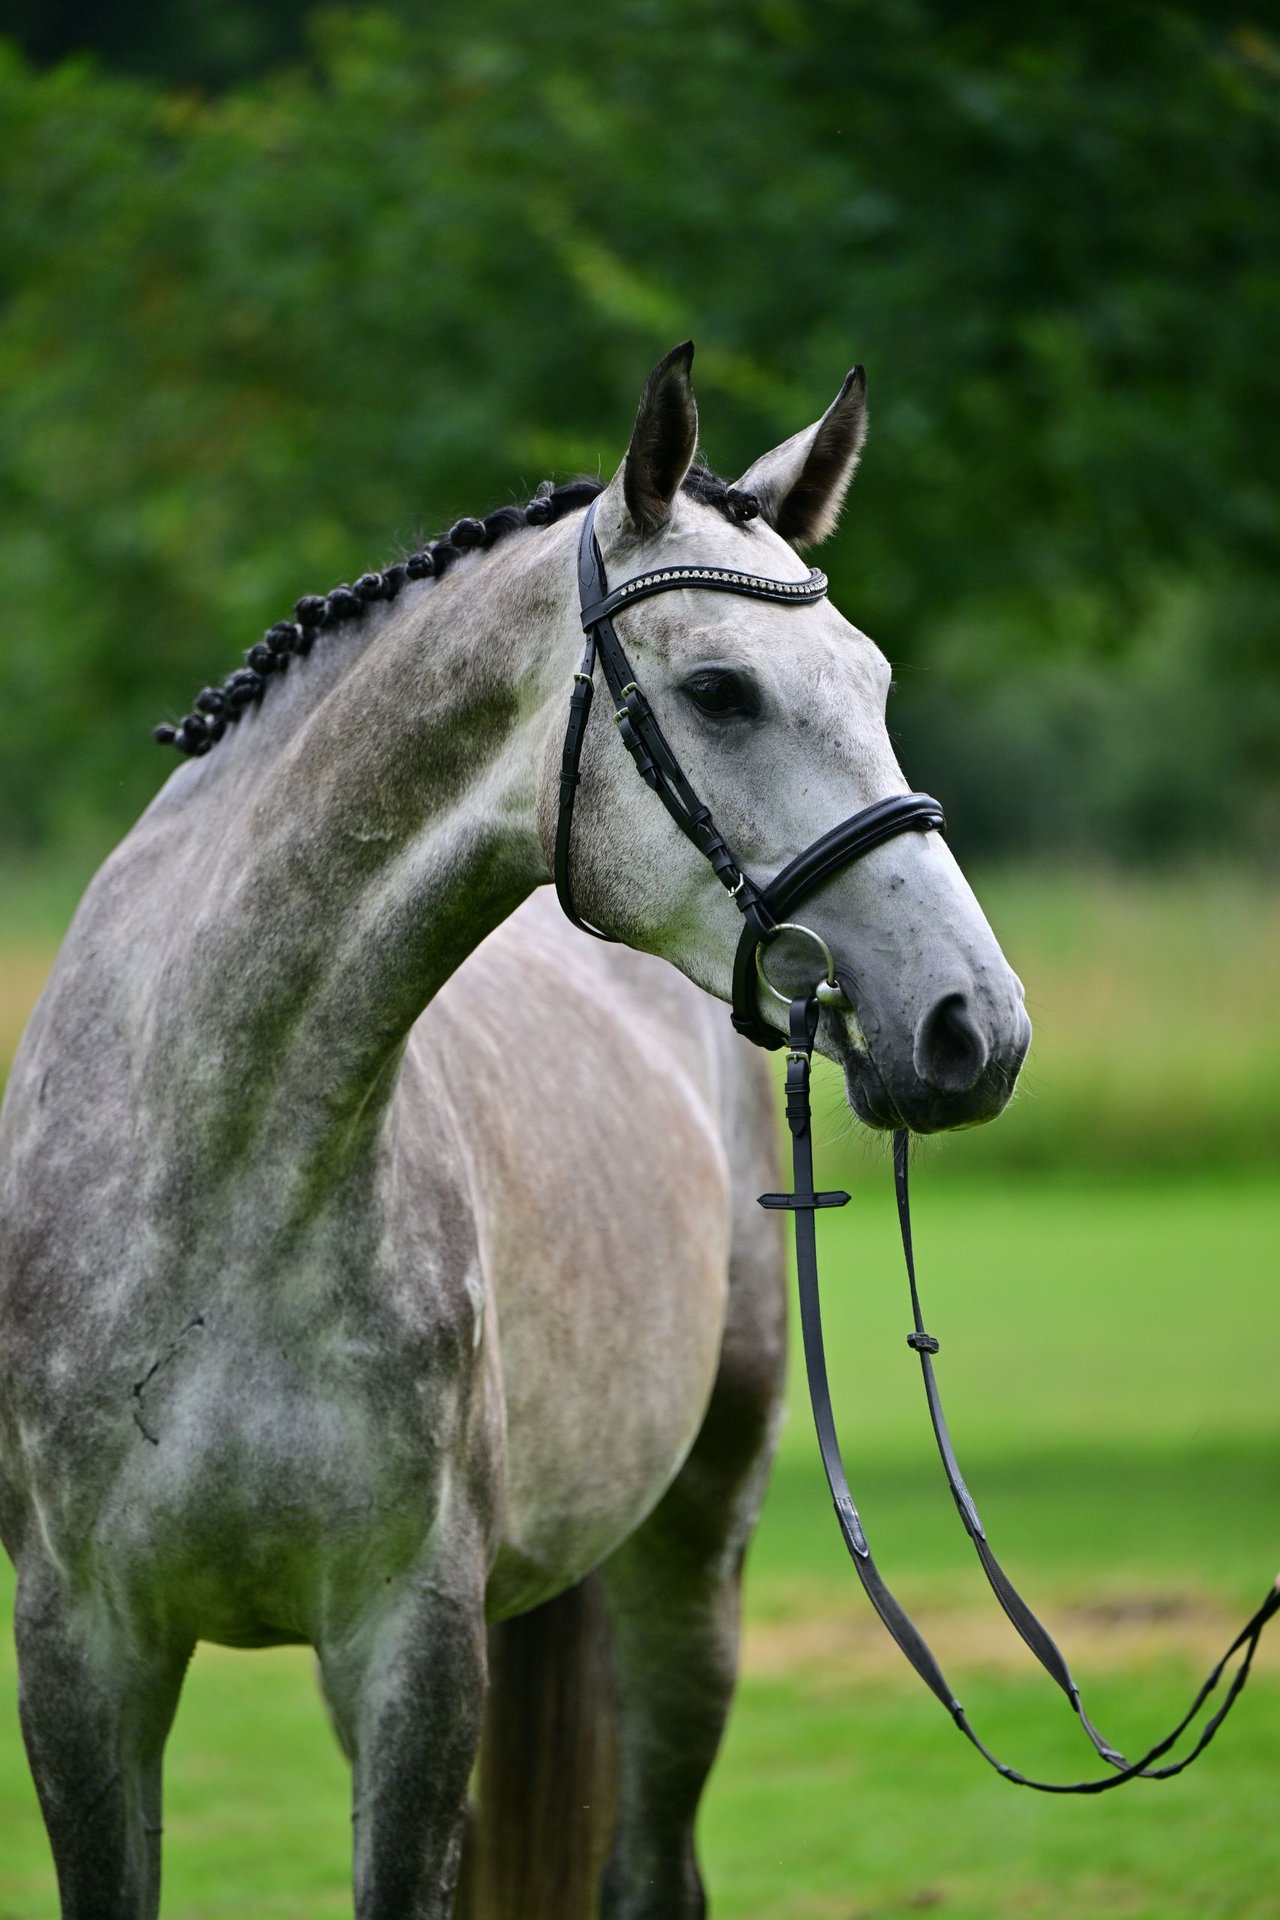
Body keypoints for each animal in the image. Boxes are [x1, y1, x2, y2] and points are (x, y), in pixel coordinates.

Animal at [0, 342, 1030, 1918]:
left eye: (873, 681)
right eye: (721, 690)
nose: (974, 1025)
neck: (215, 1185)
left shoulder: (414, 1650)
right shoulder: (82, 1653)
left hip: (690, 1566)